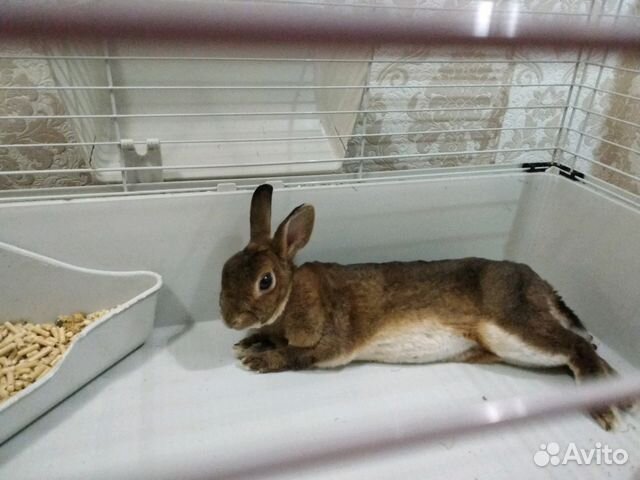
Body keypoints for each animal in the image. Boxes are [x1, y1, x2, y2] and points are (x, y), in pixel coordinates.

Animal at [219, 183, 629, 431]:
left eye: (265, 281)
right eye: (226, 269)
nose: (230, 320)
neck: (290, 298)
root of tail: (540, 285)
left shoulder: (328, 344)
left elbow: (294, 356)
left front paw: (257, 359)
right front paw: (250, 342)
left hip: (512, 326)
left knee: (578, 346)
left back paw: (607, 409)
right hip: (509, 348)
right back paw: (621, 397)